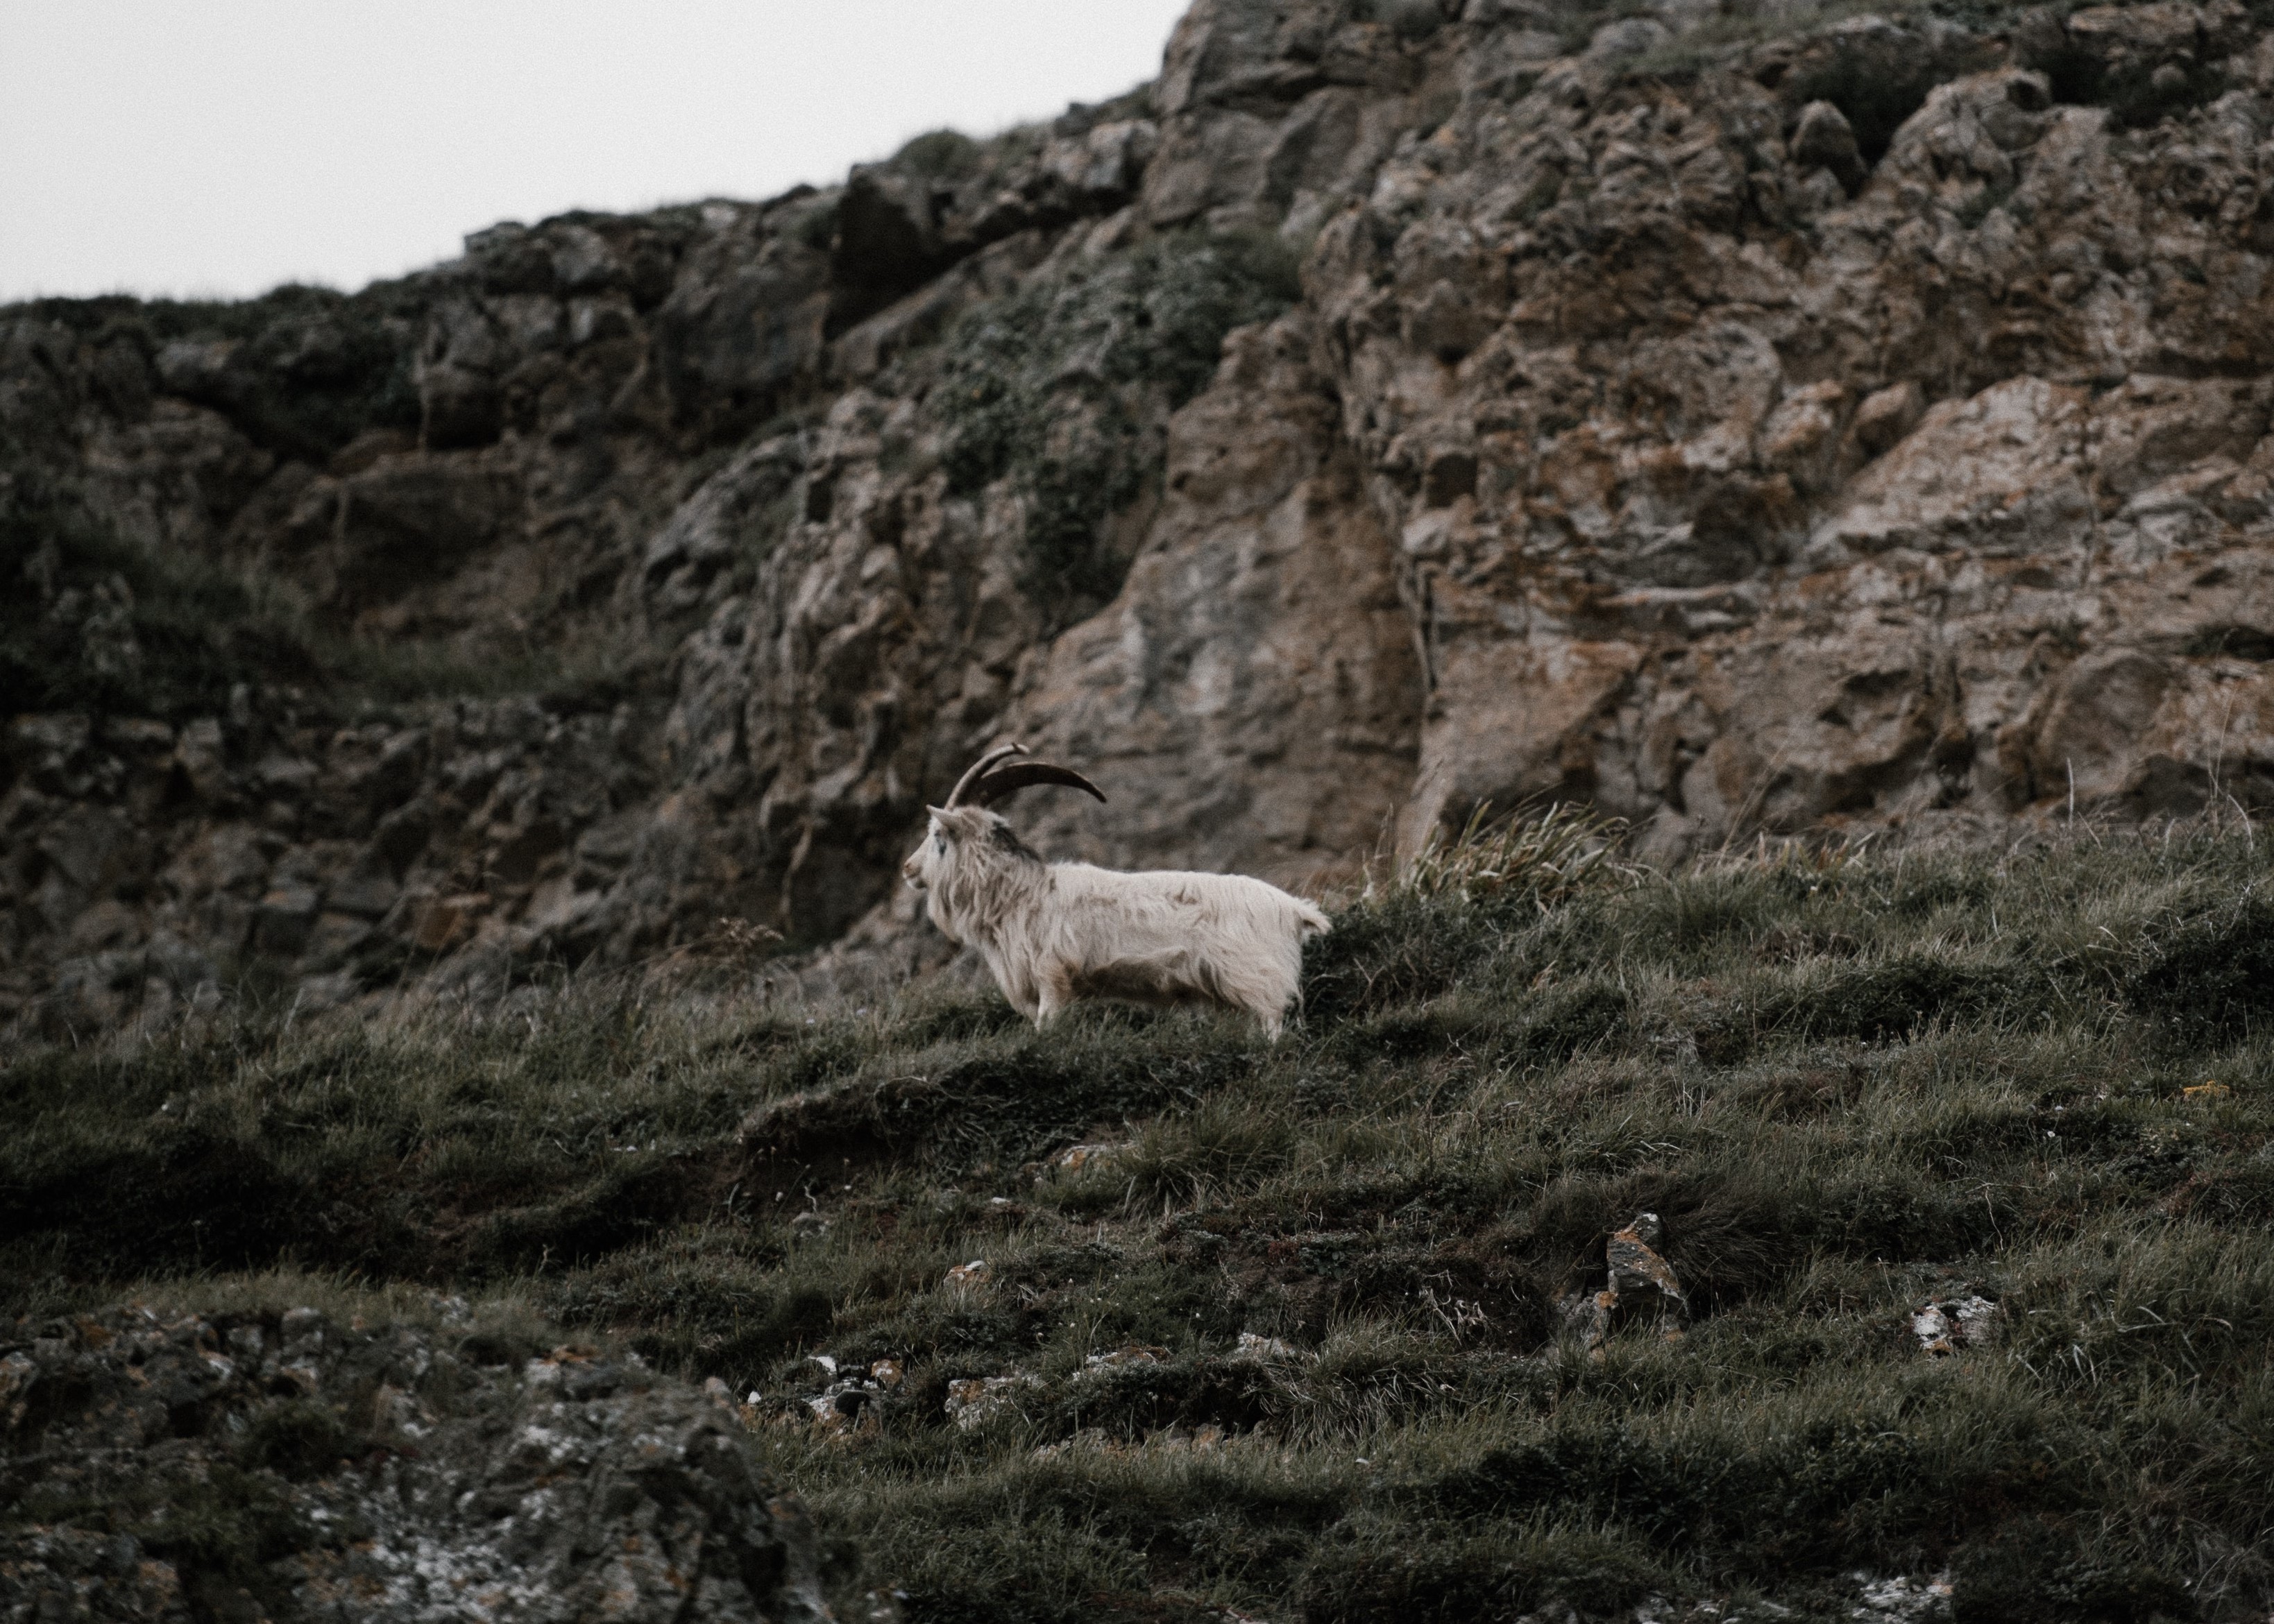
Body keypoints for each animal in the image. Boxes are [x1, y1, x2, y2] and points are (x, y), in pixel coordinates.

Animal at [901, 744, 1331, 1037]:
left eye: (937, 836)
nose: (908, 869)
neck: (1021, 893)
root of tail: (1294, 910)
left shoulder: (1052, 975)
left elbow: (1046, 1024)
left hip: (1260, 980)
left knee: (1273, 1025)